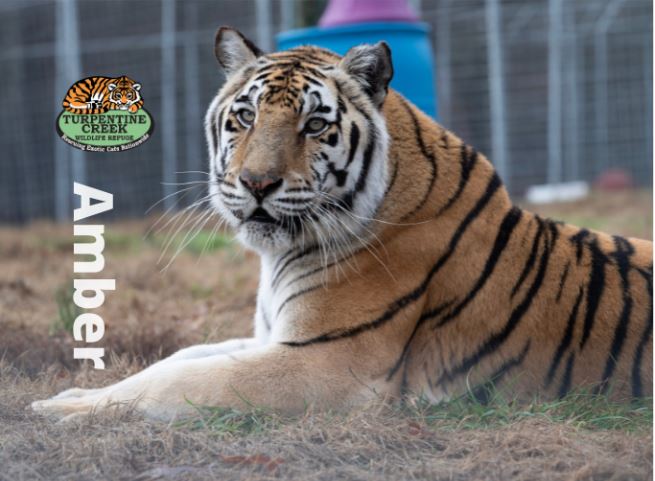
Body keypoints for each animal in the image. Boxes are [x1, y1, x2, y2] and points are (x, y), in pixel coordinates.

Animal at [33, 27, 652, 422]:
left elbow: (184, 379)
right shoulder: (272, 336)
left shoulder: (326, 361)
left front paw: (71, 411)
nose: (257, 183)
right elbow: (178, 358)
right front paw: (68, 395)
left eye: (313, 125)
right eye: (245, 116)